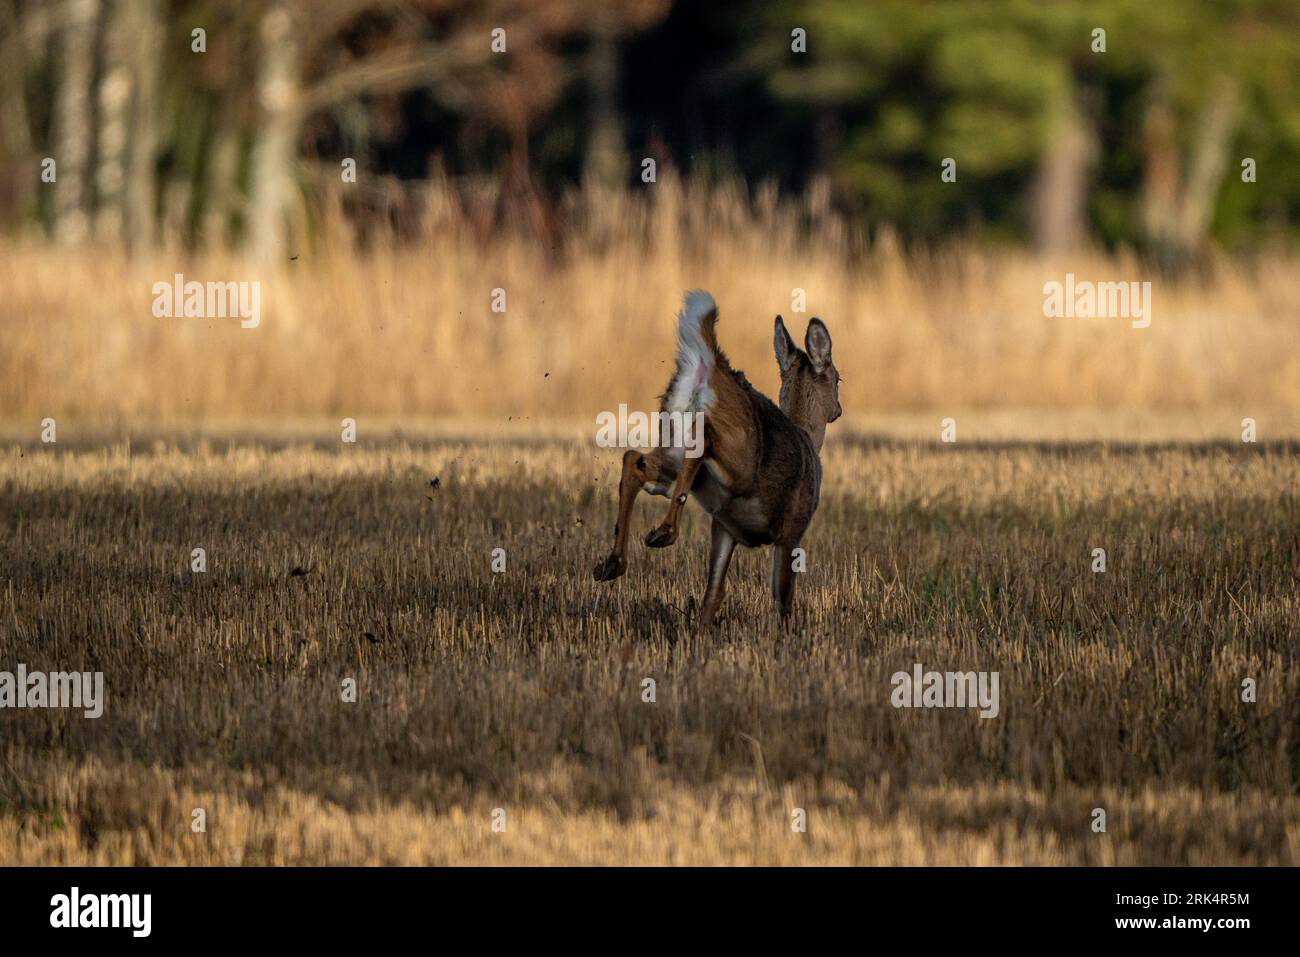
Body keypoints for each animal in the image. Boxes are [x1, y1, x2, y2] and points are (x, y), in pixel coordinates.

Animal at [593, 291, 841, 625]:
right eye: (839, 379)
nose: (838, 409)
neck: (808, 440)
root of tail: (709, 362)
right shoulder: (793, 529)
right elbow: (782, 598)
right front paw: (787, 635)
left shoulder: (724, 527)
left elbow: (713, 593)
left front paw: (701, 630)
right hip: (739, 465)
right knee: (702, 440)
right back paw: (663, 533)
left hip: (672, 449)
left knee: (635, 459)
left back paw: (614, 562)